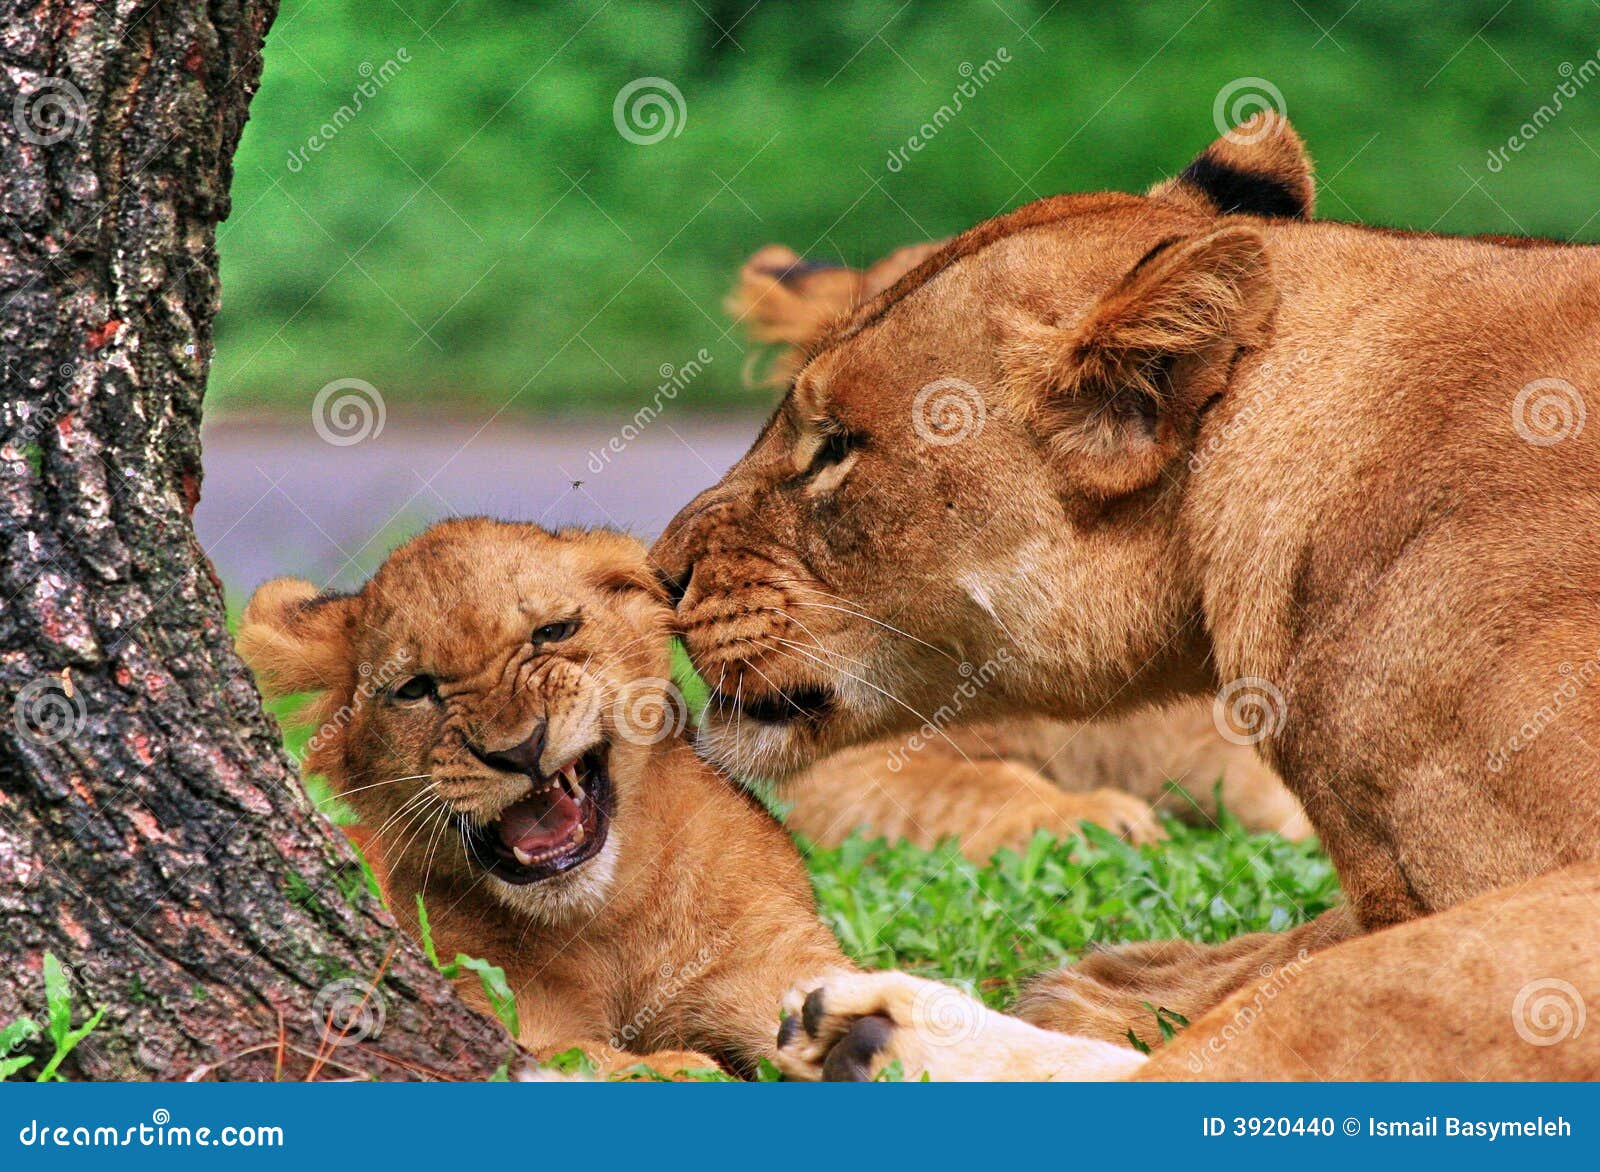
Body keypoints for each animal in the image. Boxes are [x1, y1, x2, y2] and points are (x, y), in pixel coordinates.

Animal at [238, 518, 852, 1078]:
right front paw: (684, 1066)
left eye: (553, 632)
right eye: (413, 689)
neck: (606, 922)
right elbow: (583, 1057)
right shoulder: (491, 1000)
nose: (519, 749)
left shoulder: (767, 954)